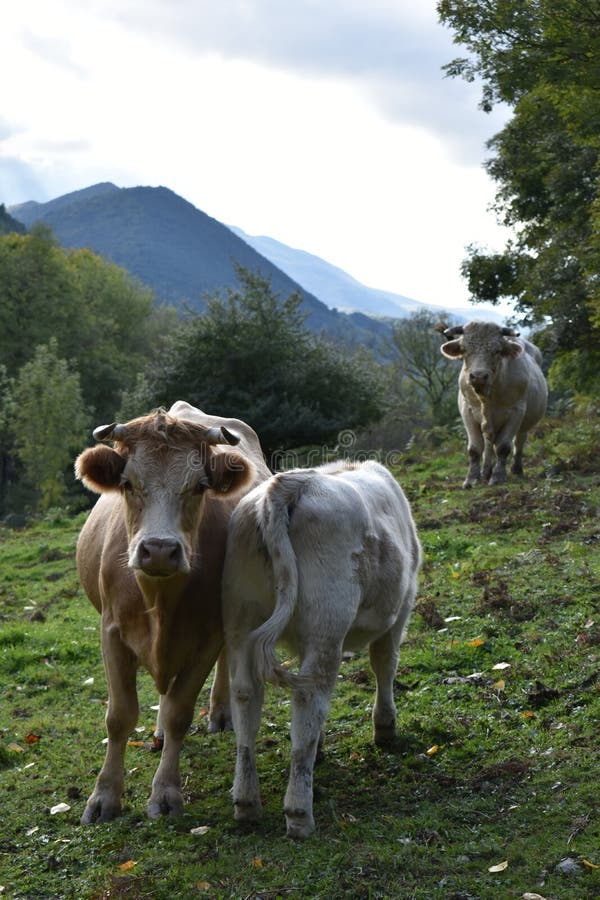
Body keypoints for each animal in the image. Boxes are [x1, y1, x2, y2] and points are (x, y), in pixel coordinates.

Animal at [75, 400, 270, 823]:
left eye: (199, 486)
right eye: (128, 484)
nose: (160, 550)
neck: (159, 600)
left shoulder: (207, 637)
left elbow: (181, 711)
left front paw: (165, 792)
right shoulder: (111, 632)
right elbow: (119, 716)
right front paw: (104, 796)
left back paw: (219, 714)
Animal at [222, 460, 421, 838]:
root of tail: (288, 486)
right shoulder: (401, 609)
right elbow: (385, 665)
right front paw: (385, 726)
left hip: (241, 621)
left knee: (245, 697)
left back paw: (246, 802)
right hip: (327, 625)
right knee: (309, 696)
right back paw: (299, 811)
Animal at [440, 321, 547, 488]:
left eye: (497, 351)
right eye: (464, 350)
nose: (478, 376)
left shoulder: (517, 411)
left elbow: (503, 447)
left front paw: (498, 476)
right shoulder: (467, 411)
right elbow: (475, 449)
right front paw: (471, 479)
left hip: (525, 421)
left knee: (519, 441)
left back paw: (516, 469)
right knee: (488, 443)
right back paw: (486, 471)